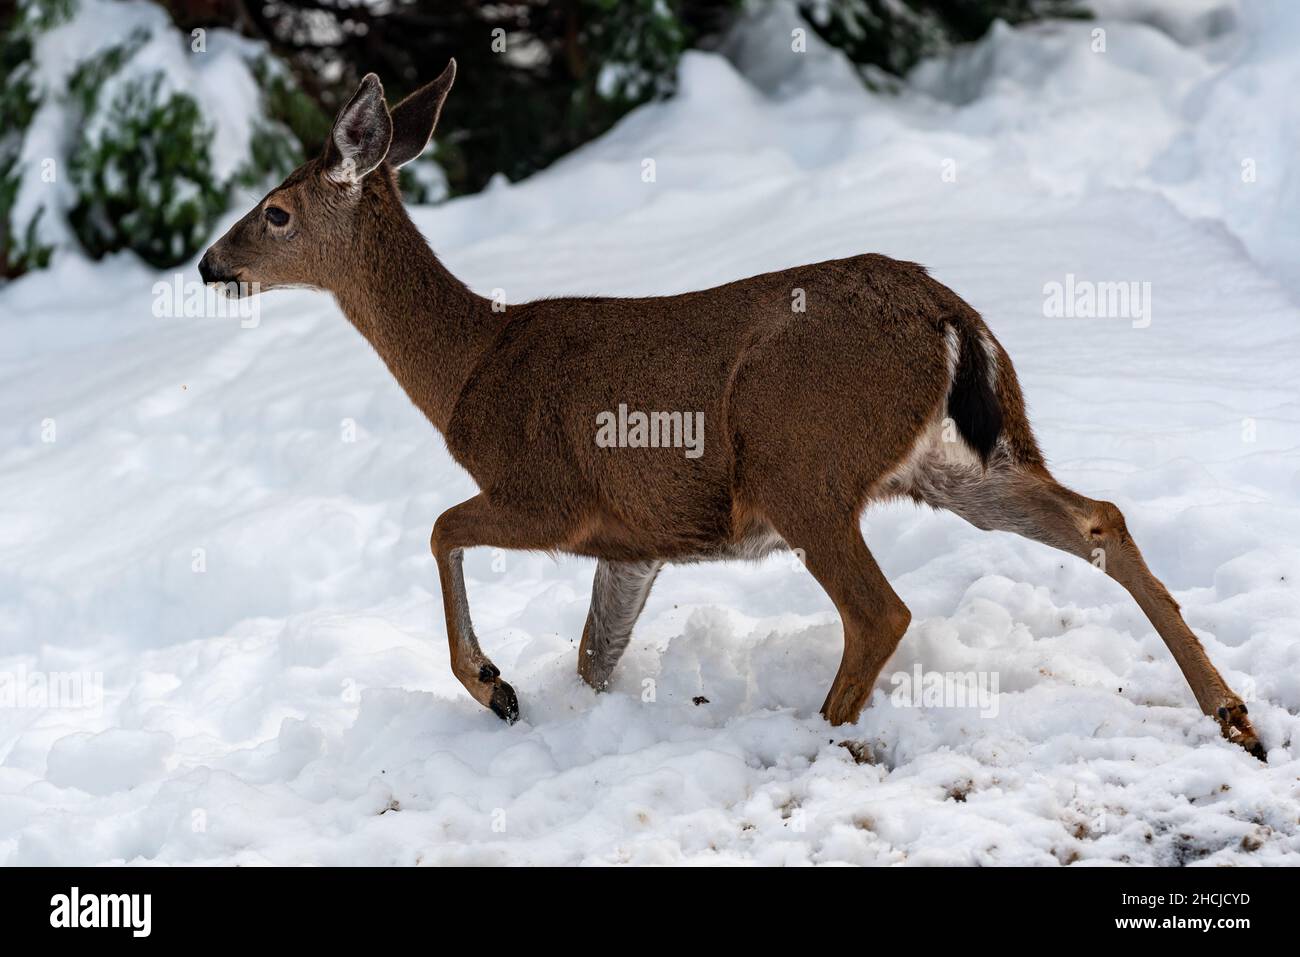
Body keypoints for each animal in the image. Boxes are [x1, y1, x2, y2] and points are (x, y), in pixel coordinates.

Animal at [198, 60, 1265, 760]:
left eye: (276, 213)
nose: (211, 264)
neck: (467, 366)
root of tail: (946, 312)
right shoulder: (638, 538)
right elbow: (596, 653)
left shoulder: (550, 493)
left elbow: (438, 527)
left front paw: (495, 688)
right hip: (957, 459)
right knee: (1098, 516)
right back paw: (1233, 716)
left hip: (802, 457)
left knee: (881, 608)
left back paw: (821, 736)